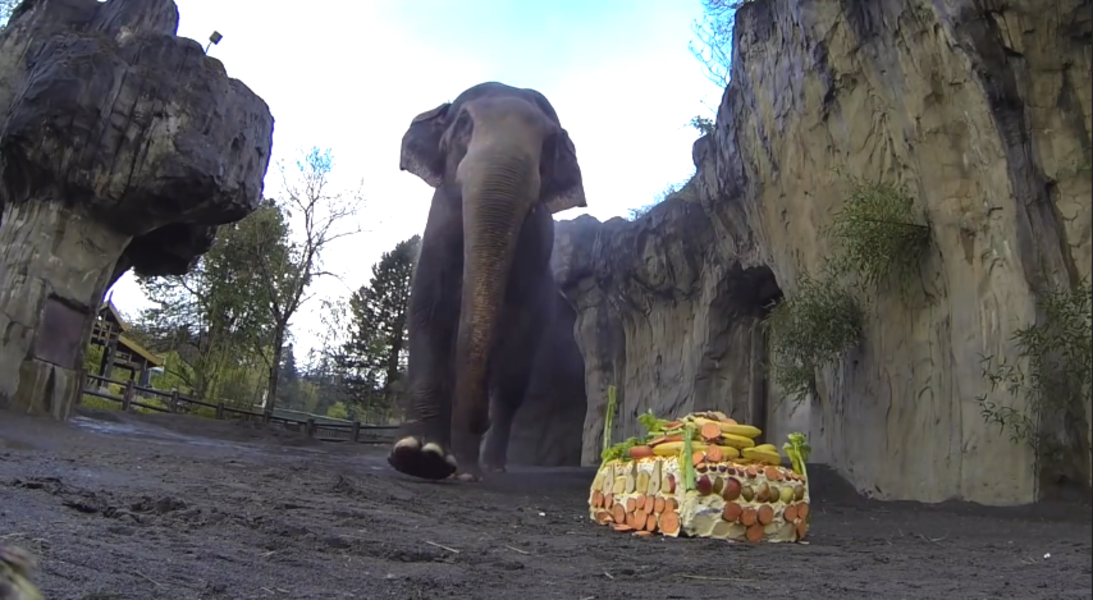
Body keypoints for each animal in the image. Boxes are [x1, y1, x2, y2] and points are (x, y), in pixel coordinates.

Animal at [387, 81, 586, 482]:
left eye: (548, 144)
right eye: (464, 123)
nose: (480, 421)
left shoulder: (535, 251)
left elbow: (516, 331)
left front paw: (439, 459)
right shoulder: (437, 228)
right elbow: (428, 308)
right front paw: (419, 456)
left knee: (512, 380)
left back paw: (485, 468)